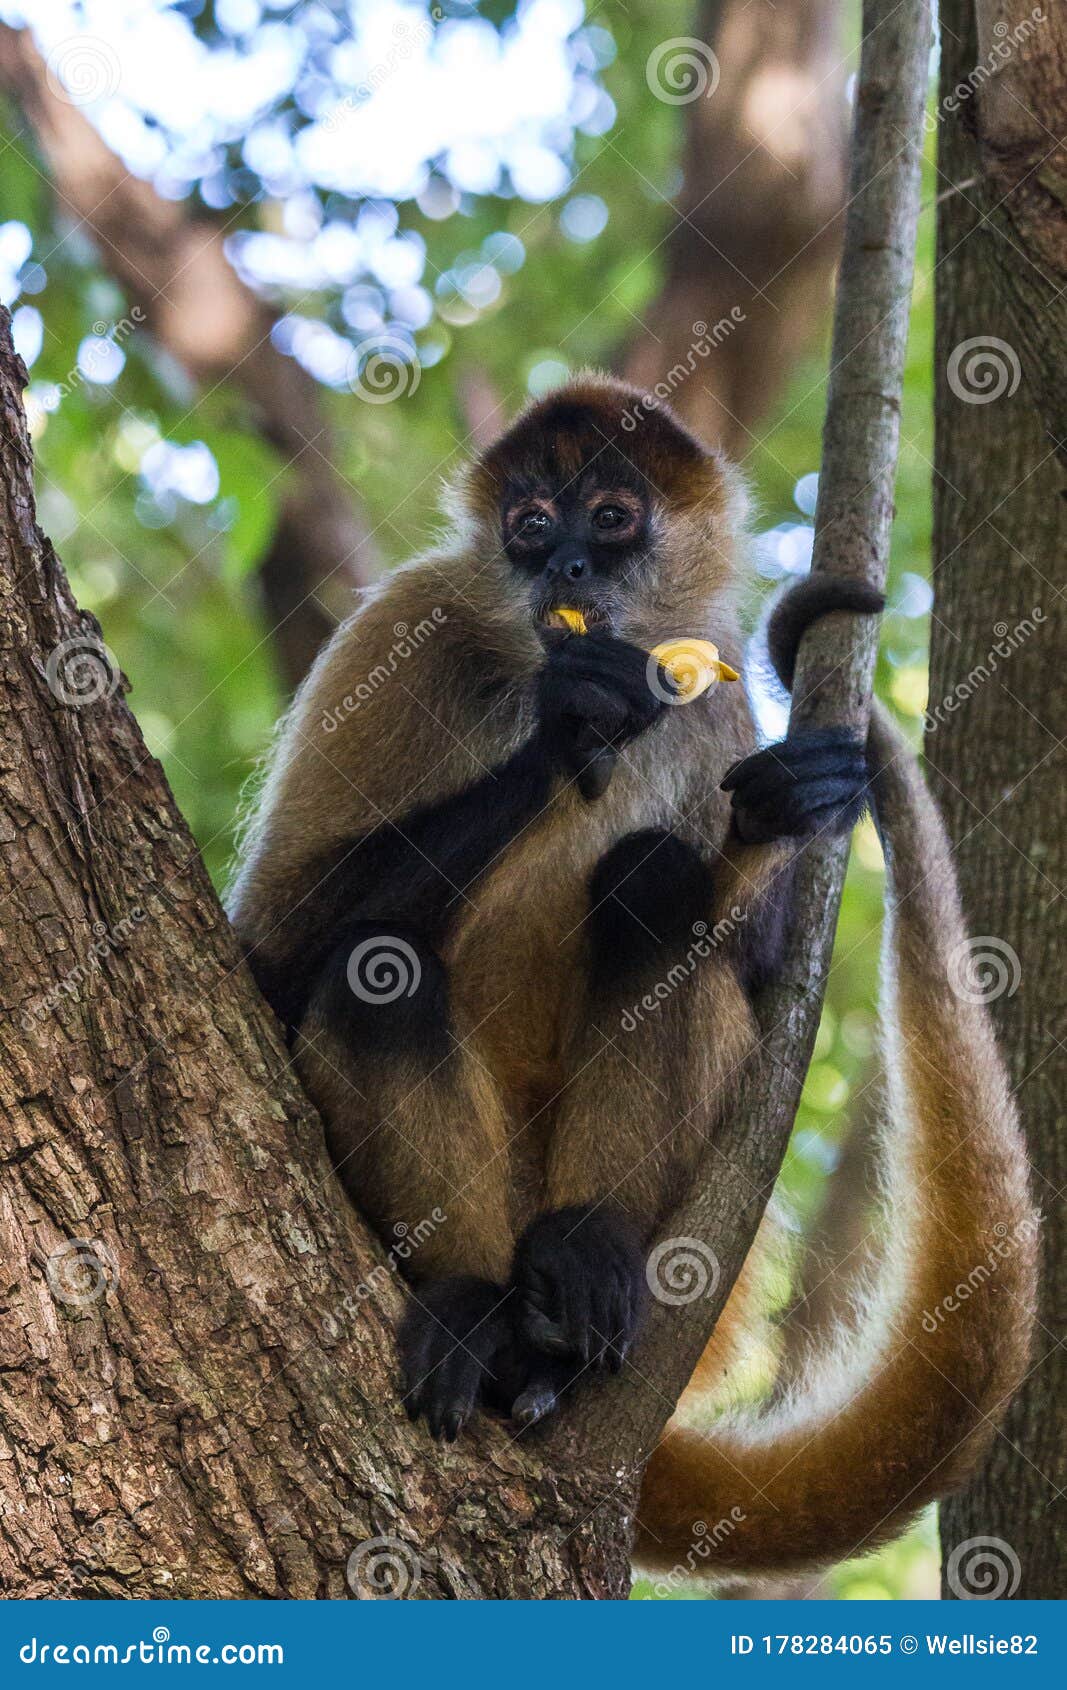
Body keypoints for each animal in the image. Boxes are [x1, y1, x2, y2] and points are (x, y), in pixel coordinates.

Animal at [228, 373, 1036, 1578]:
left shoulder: (710, 683)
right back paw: (482, 1317)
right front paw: (571, 723)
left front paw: (788, 808)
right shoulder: (403, 626)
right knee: (381, 970)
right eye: (528, 525)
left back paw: (579, 1265)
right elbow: (269, 949)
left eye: (609, 518)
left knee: (648, 881)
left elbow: (745, 953)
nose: (564, 566)